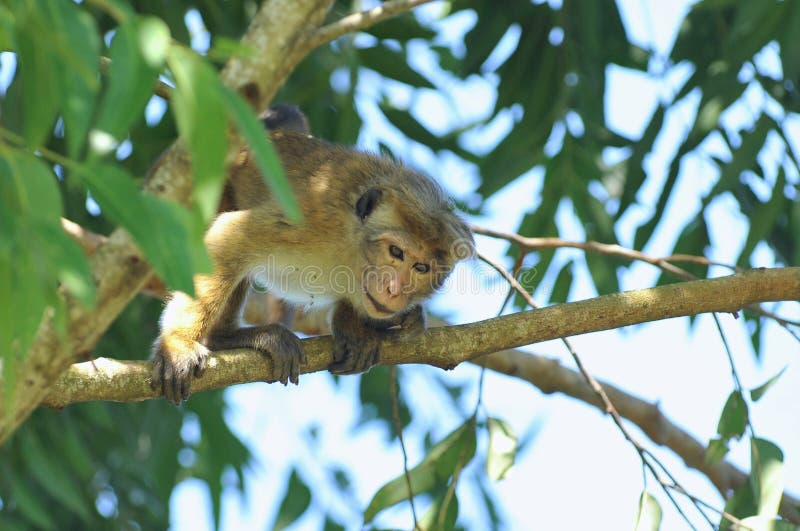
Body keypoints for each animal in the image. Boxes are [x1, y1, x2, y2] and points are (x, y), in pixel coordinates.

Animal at [151, 105, 474, 404]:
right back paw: (225, 337)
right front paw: (178, 344)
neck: (350, 250)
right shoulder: (315, 221)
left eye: (421, 268)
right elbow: (230, 237)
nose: (395, 289)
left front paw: (357, 324)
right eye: (396, 252)